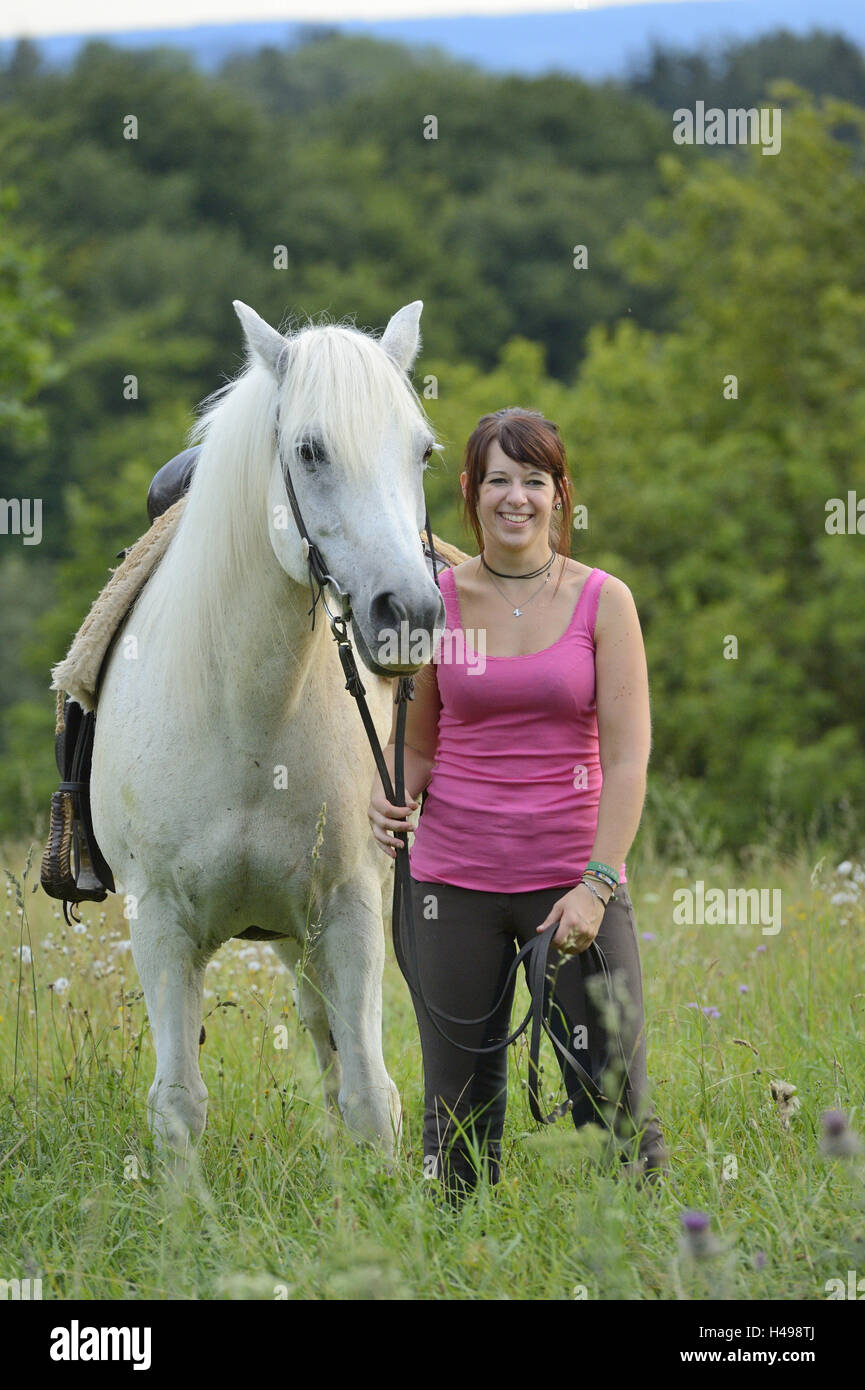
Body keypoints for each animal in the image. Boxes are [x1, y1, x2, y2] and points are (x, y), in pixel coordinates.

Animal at [89, 299, 445, 1160]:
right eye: (310, 451)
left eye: (421, 451)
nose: (410, 615)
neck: (247, 721)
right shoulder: (159, 924)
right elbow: (177, 1102)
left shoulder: (348, 911)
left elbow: (369, 1095)